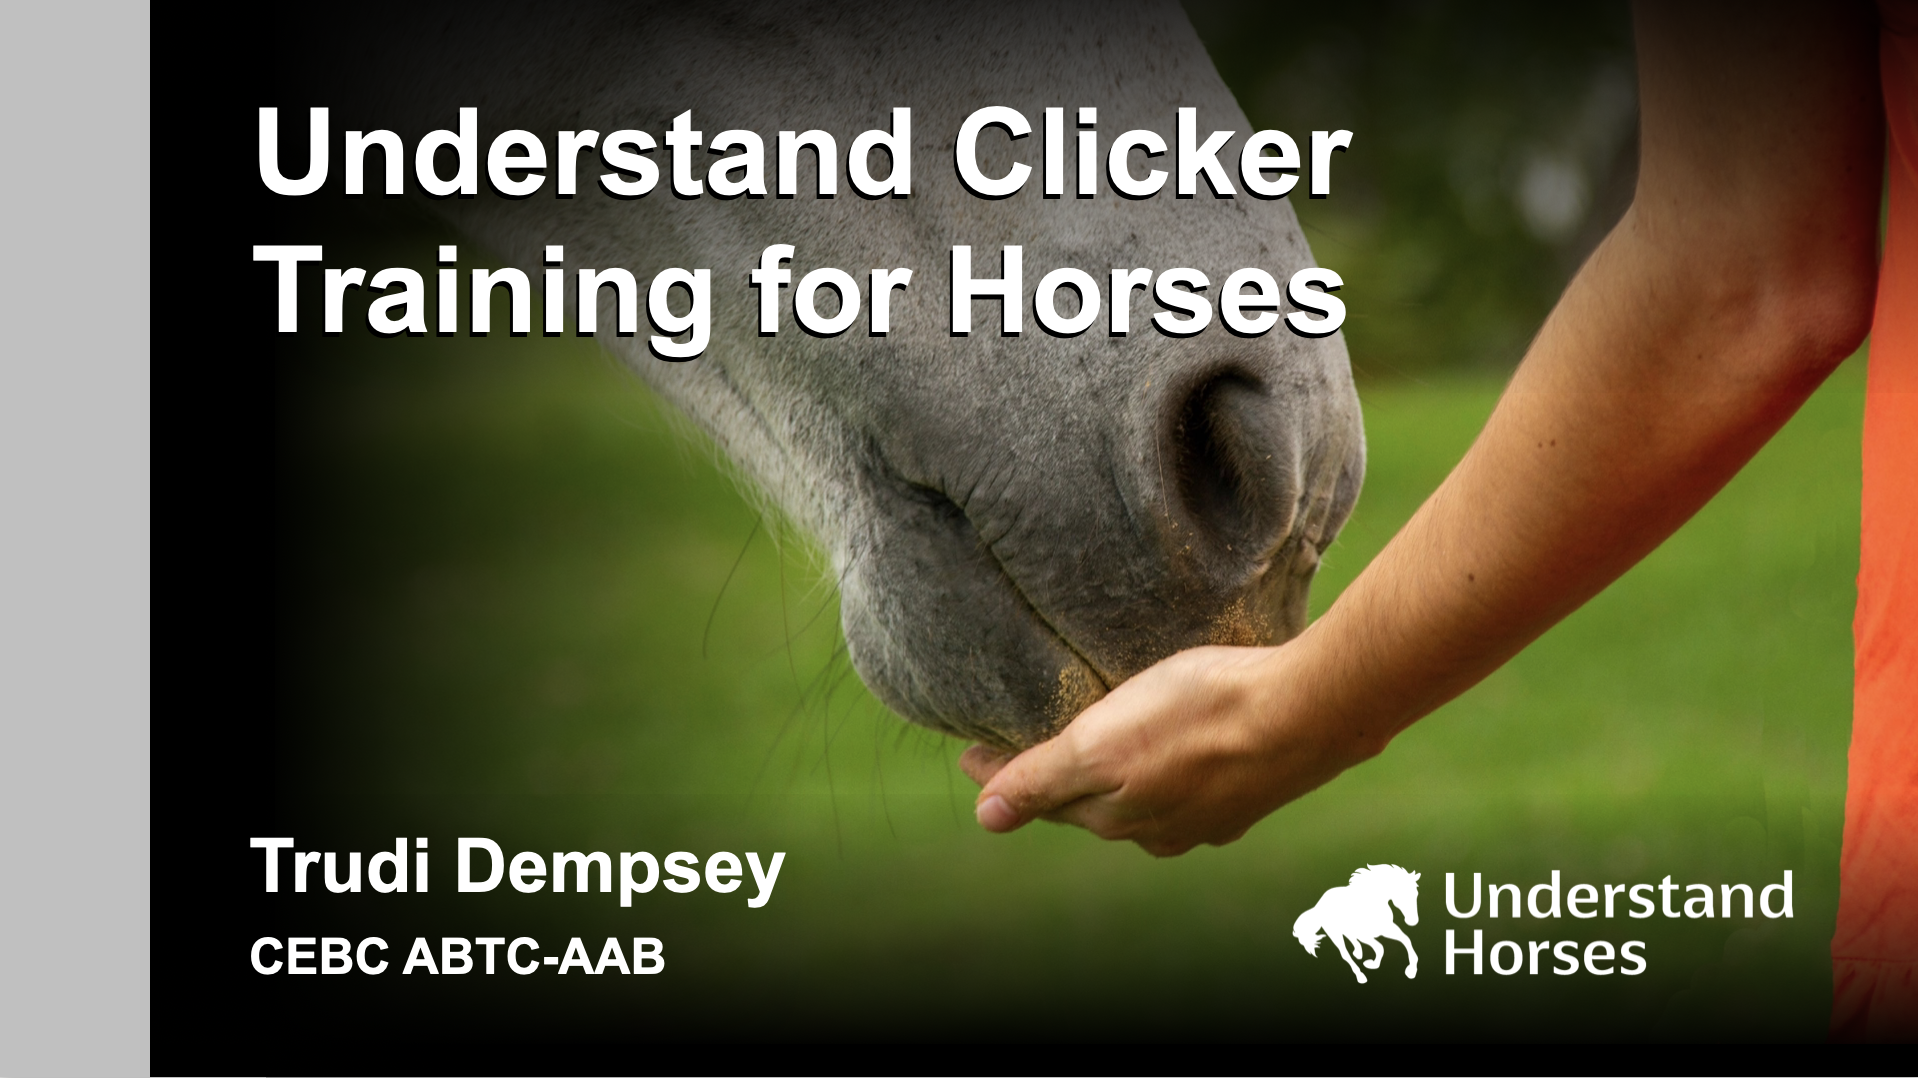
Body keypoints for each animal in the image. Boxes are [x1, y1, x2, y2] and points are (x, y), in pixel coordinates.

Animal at [1292, 864, 1421, 984]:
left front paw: (1411, 970)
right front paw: (1373, 964)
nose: (1413, 921)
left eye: (1416, 895)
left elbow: (1406, 940)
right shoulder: (1365, 935)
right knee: (1345, 953)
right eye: (1404, 894)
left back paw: (1358, 952)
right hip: (1335, 934)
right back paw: (1360, 975)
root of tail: (1318, 906)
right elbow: (1380, 947)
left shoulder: (1386, 928)